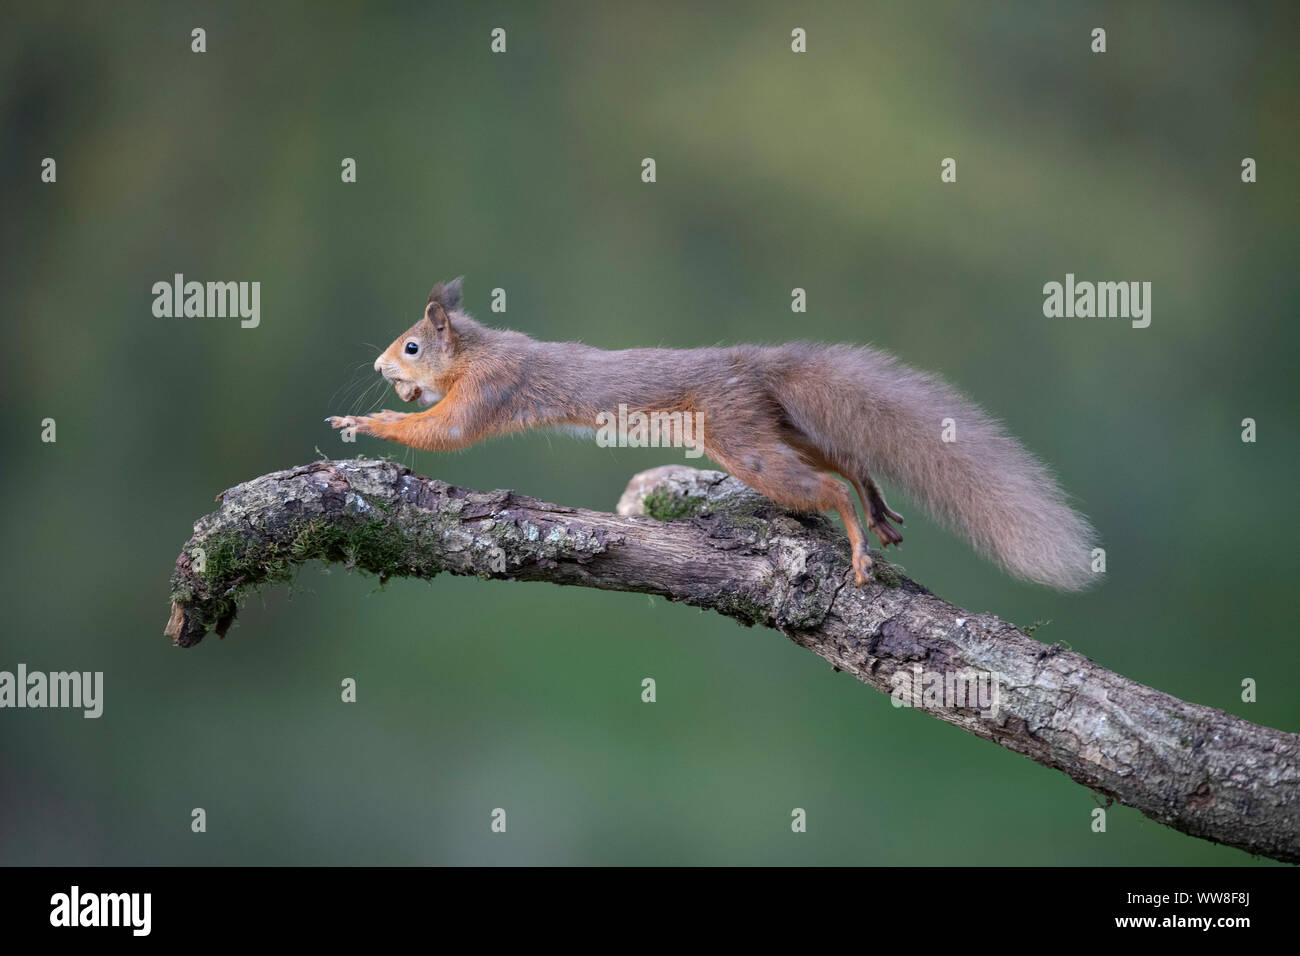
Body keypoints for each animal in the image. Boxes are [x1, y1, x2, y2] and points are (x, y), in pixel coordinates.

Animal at [325, 278, 1097, 590]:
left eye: (412, 346)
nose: (379, 368)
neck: (477, 350)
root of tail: (752, 364)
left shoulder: (491, 391)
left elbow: (444, 431)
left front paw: (367, 420)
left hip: (743, 442)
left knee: (824, 487)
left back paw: (855, 546)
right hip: (770, 423)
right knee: (847, 460)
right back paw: (877, 511)